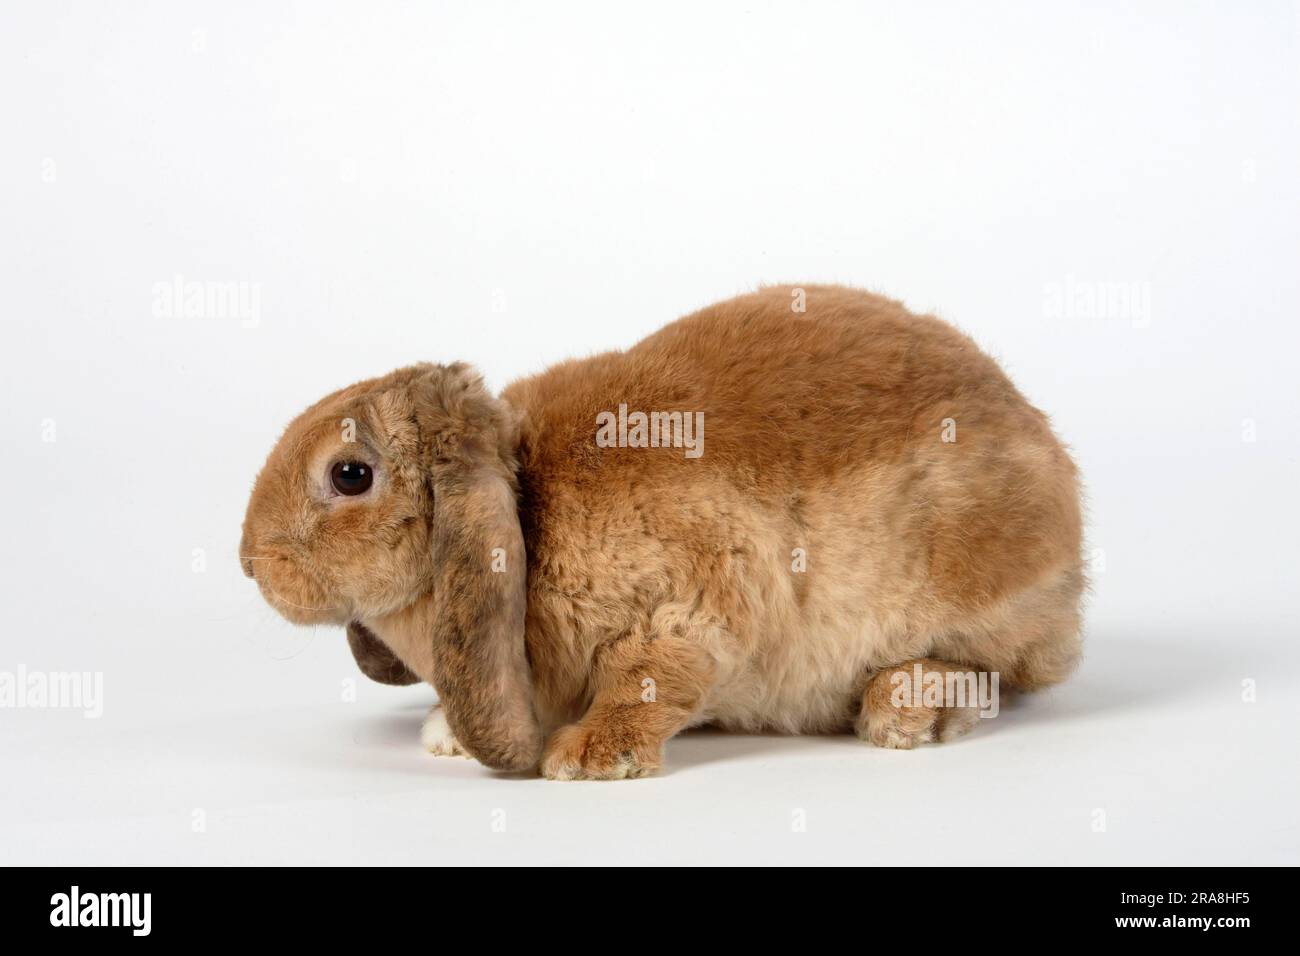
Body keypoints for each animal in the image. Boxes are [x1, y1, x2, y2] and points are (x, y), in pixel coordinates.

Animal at [240, 284, 1084, 778]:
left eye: (350, 474)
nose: (251, 561)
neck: (527, 504)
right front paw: (445, 735)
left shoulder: (690, 604)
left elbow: (649, 675)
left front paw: (590, 758)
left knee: (993, 673)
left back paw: (903, 711)